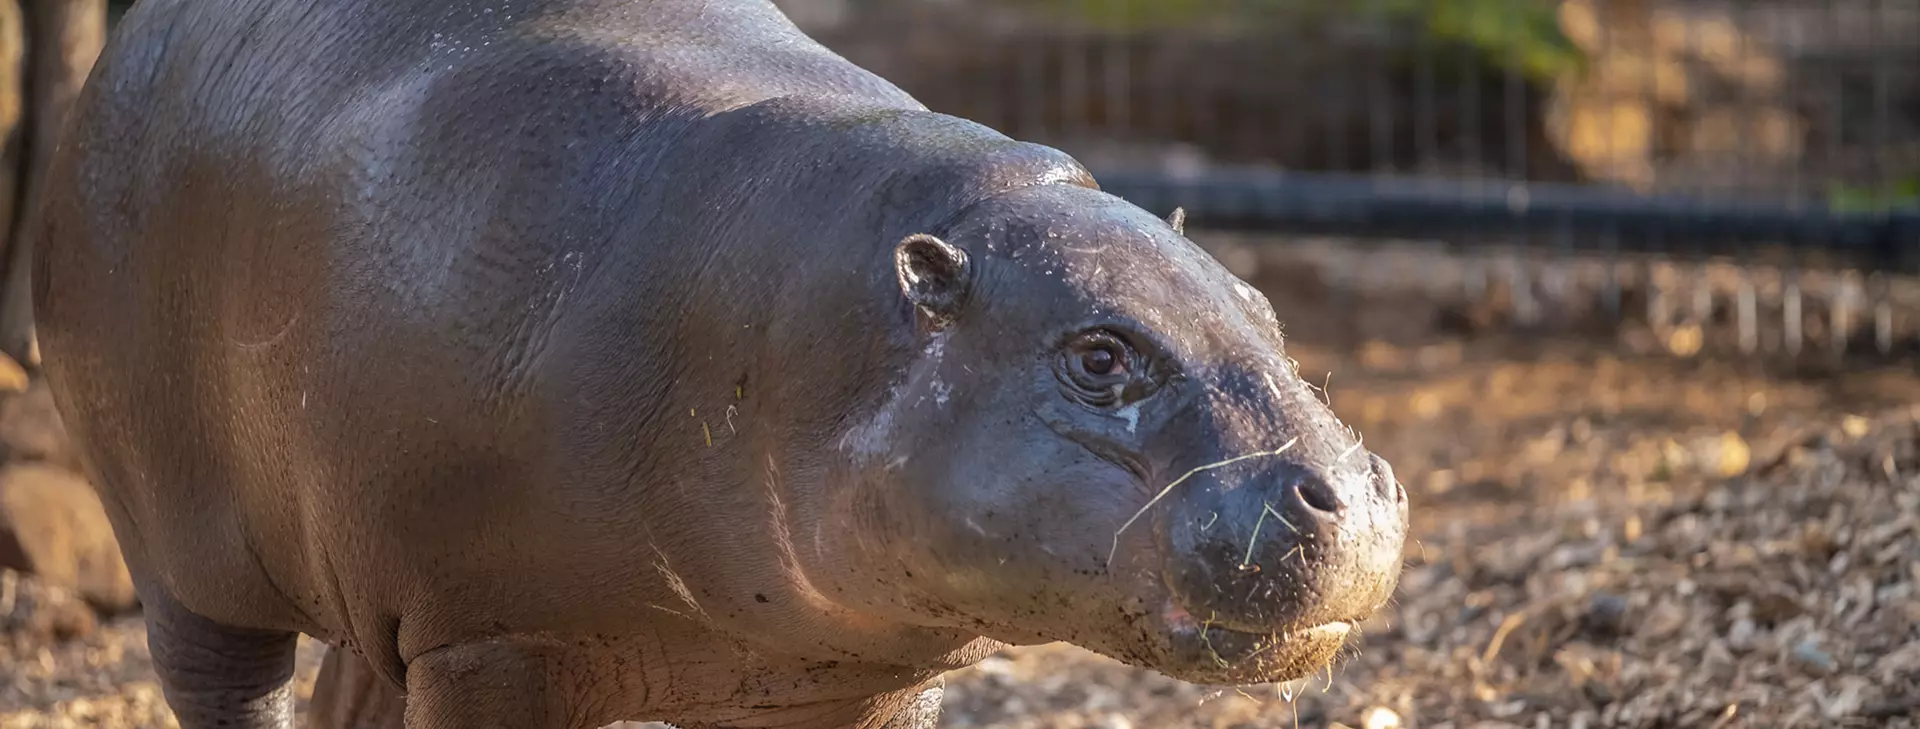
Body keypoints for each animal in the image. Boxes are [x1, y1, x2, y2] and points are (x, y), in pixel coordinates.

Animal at [31, 0, 1409, 727]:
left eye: (1264, 309)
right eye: (1100, 355)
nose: (1348, 489)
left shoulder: (859, 673)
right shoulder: (493, 641)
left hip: (370, 592)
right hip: (189, 560)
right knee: (228, 682)